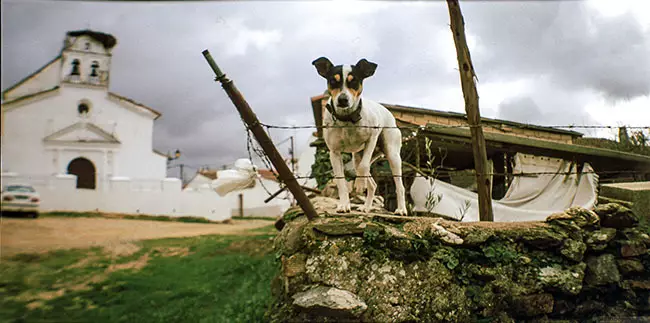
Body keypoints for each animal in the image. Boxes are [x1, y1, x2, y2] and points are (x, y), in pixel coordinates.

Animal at [310, 57, 404, 216]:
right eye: (333, 81)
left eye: (353, 81)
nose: (342, 100)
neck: (347, 118)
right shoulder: (334, 153)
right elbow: (341, 182)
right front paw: (344, 205)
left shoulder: (372, 138)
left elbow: (364, 166)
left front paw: (359, 185)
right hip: (356, 158)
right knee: (372, 183)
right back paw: (366, 207)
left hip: (392, 155)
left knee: (399, 185)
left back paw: (401, 209)